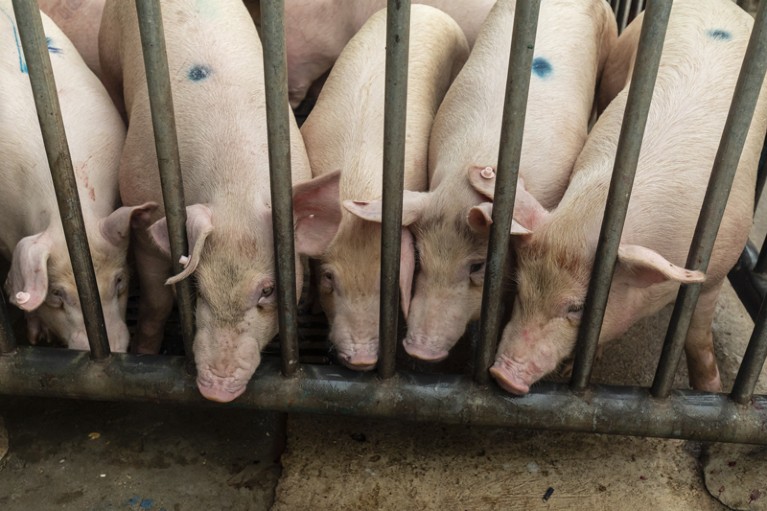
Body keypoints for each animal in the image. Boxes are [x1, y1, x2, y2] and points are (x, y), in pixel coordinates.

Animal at [99, 0, 311, 402]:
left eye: (267, 290)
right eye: (198, 289)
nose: (216, 390)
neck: (234, 190)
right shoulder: (143, 209)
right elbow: (156, 302)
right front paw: (144, 355)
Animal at [291, 5, 469, 370]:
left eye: (385, 282)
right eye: (329, 277)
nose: (361, 359)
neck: (357, 185)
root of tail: (428, 8)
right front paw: (309, 306)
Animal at [485, 0, 767, 395]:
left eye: (577, 308)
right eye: (520, 291)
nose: (501, 374)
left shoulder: (718, 268)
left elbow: (696, 337)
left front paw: (710, 390)